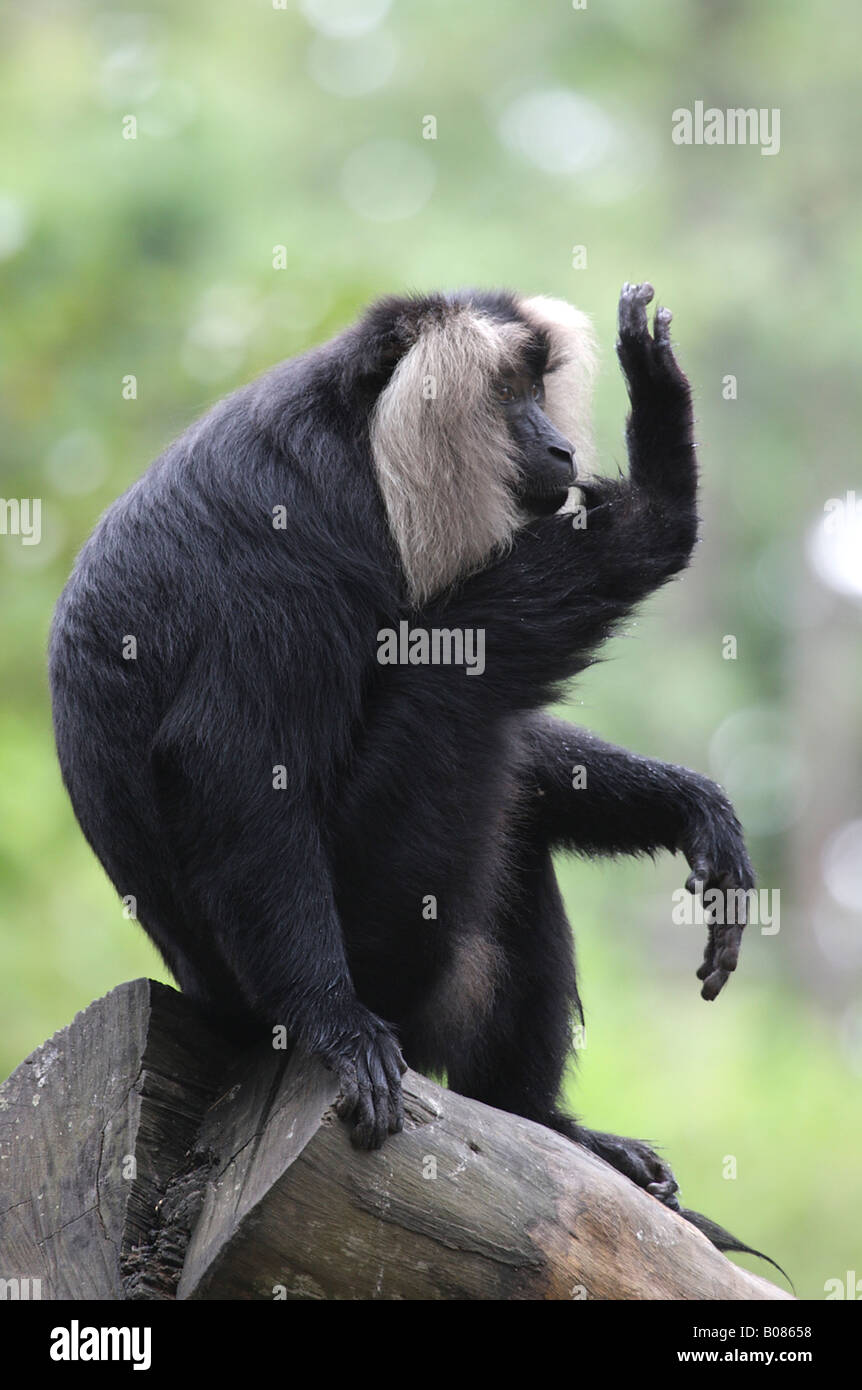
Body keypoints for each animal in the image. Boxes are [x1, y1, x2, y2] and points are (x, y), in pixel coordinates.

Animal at [49, 281, 773, 1266]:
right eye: (509, 395)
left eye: (540, 391)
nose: (558, 448)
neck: (364, 437)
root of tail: (215, 1003)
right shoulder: (295, 519)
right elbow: (233, 764)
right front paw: (332, 1024)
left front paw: (689, 806)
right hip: (386, 941)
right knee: (452, 690)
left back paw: (543, 1121)